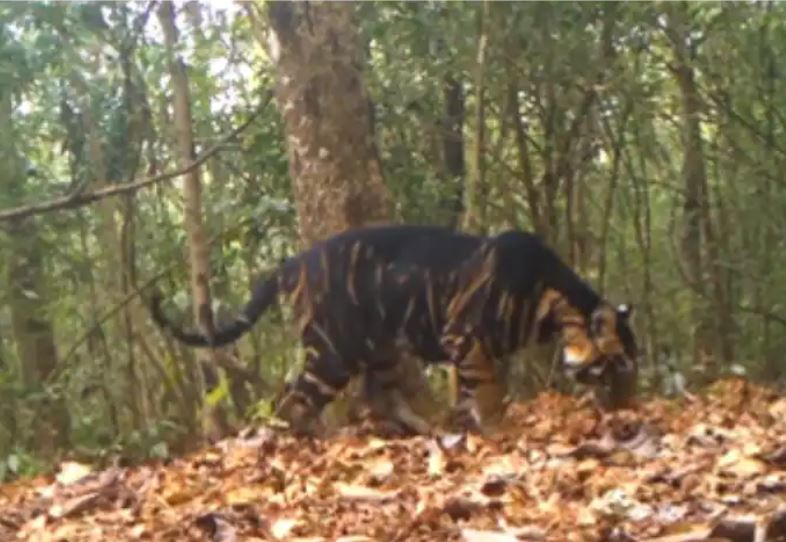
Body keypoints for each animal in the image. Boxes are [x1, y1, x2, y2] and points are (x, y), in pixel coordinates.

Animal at [149, 224, 638, 436]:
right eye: (619, 366)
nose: (631, 411)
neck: (554, 303)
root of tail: (288, 264)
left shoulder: (468, 351)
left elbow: (469, 392)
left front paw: (466, 425)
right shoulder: (464, 338)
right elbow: (490, 392)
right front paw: (503, 433)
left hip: (377, 348)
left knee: (376, 395)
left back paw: (418, 428)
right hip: (333, 353)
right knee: (294, 398)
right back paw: (321, 440)